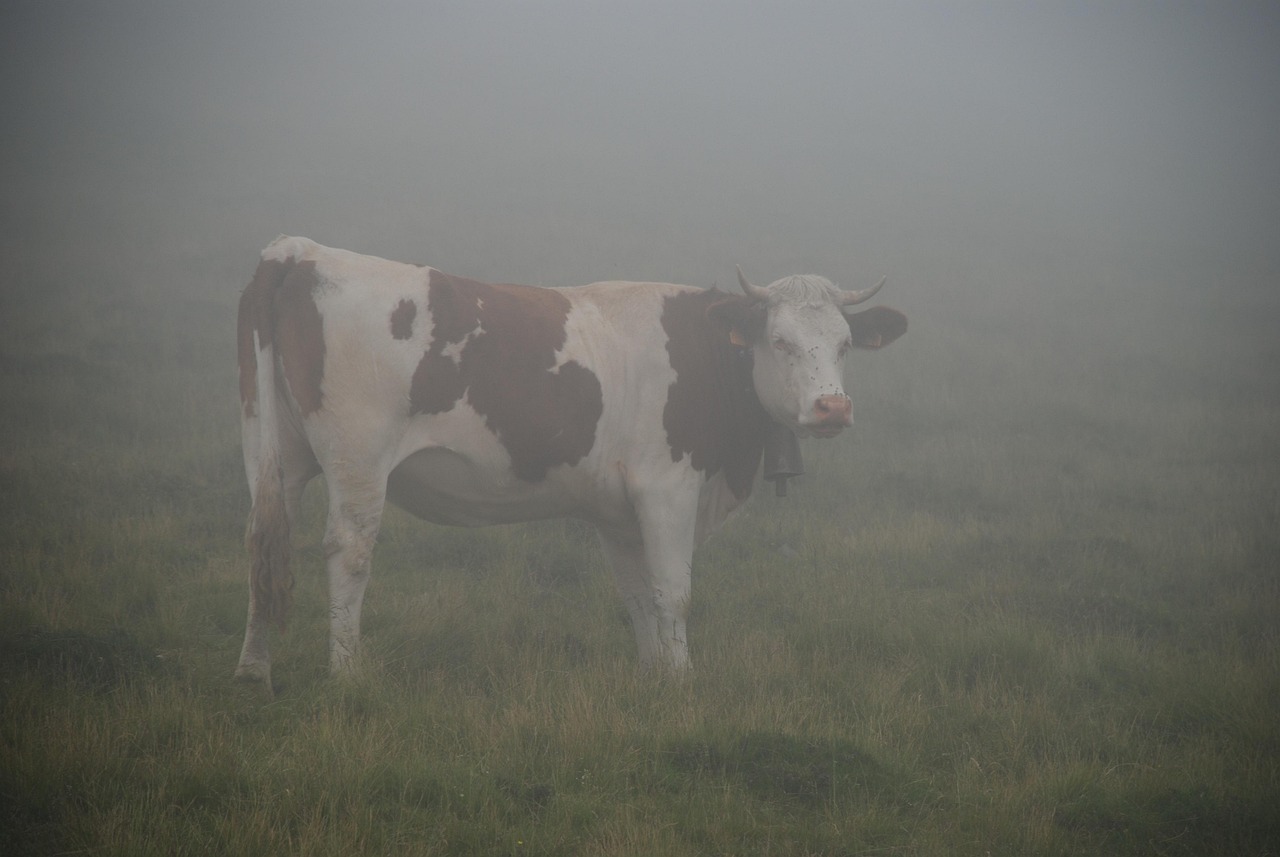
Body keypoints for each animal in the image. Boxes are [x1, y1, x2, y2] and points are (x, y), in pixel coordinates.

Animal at [235, 236, 906, 687]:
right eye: (781, 342)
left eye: (846, 344)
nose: (832, 407)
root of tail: (298, 252)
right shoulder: (667, 488)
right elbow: (674, 591)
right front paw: (683, 682)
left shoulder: (619, 510)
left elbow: (639, 594)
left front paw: (654, 675)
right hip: (358, 461)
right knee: (348, 552)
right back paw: (347, 674)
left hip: (275, 453)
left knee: (265, 541)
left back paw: (254, 671)